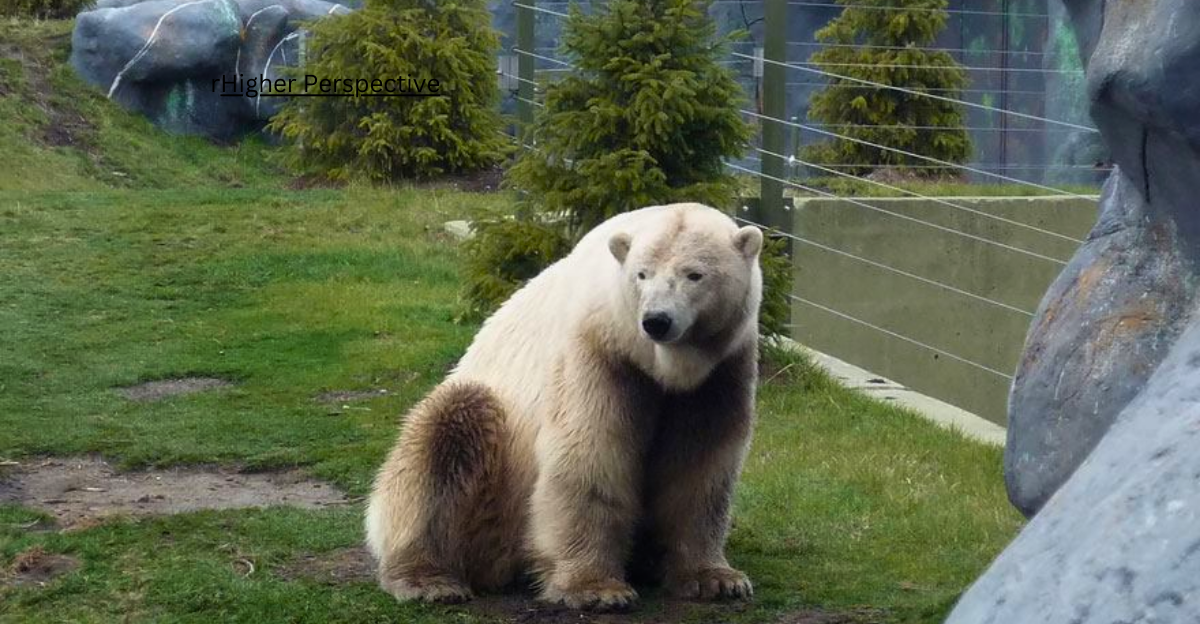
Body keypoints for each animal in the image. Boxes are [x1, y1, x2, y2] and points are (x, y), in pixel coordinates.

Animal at [365, 202, 764, 610]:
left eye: (694, 274)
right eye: (642, 274)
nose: (656, 321)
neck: (657, 364)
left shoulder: (719, 374)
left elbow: (700, 466)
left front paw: (716, 578)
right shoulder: (597, 353)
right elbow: (590, 451)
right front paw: (595, 589)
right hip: (494, 484)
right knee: (450, 428)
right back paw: (427, 578)